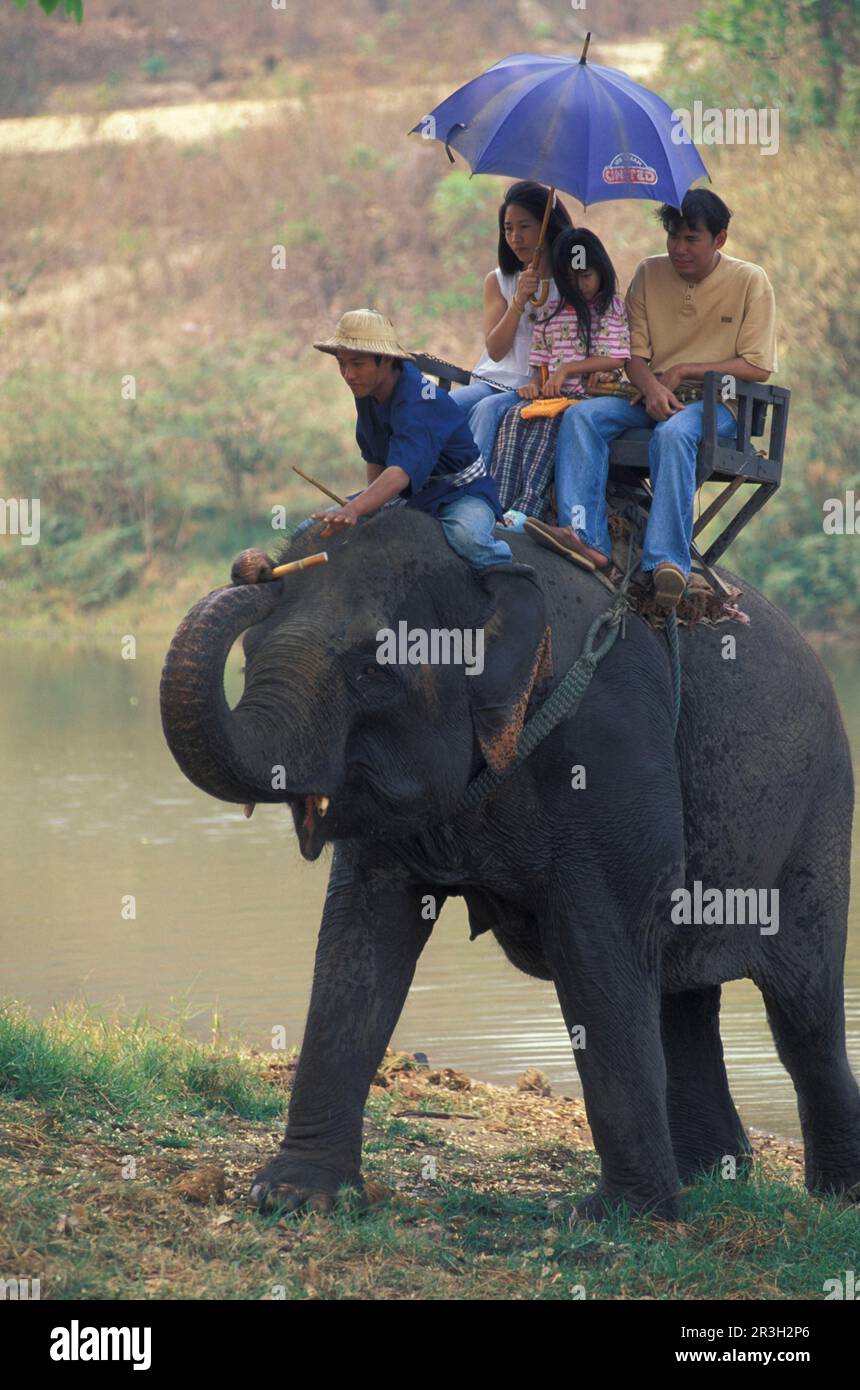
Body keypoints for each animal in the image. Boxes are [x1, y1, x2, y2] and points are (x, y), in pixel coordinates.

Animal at [160, 505, 860, 1221]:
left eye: (374, 669)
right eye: (249, 655)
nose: (250, 568)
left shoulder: (608, 744)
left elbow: (597, 947)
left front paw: (617, 1218)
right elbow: (358, 936)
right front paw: (293, 1196)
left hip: (821, 818)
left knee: (804, 1015)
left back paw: (833, 1199)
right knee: (683, 997)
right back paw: (711, 1181)